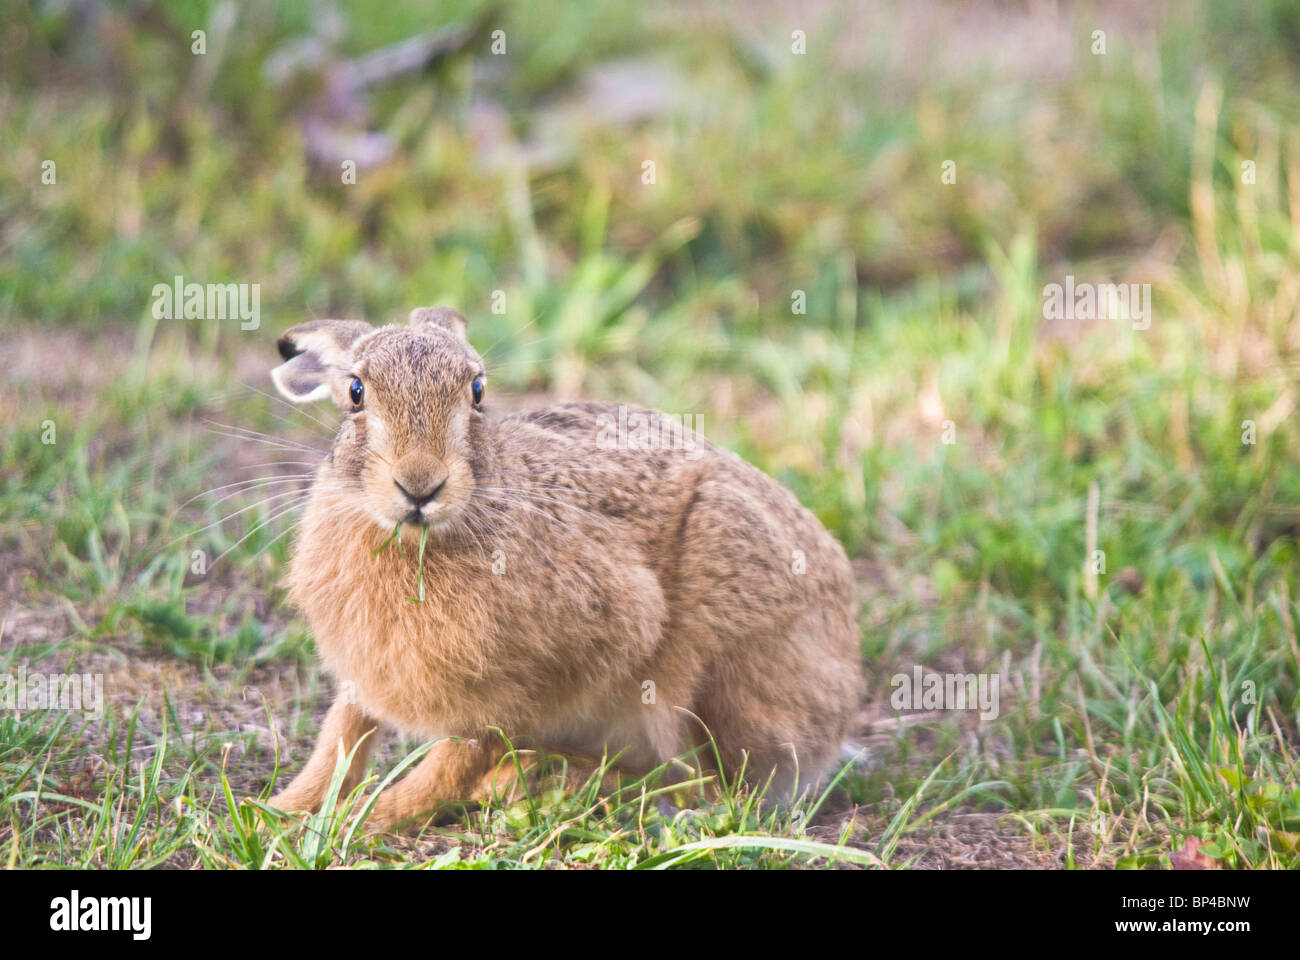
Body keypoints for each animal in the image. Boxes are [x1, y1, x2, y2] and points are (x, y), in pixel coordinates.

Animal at [264, 306, 863, 829]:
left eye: (477, 392)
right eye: (355, 393)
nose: (419, 484)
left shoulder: (529, 681)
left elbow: (451, 766)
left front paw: (364, 821)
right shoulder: (363, 671)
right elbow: (340, 736)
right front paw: (282, 811)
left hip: (710, 666)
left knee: (710, 788)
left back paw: (534, 780)